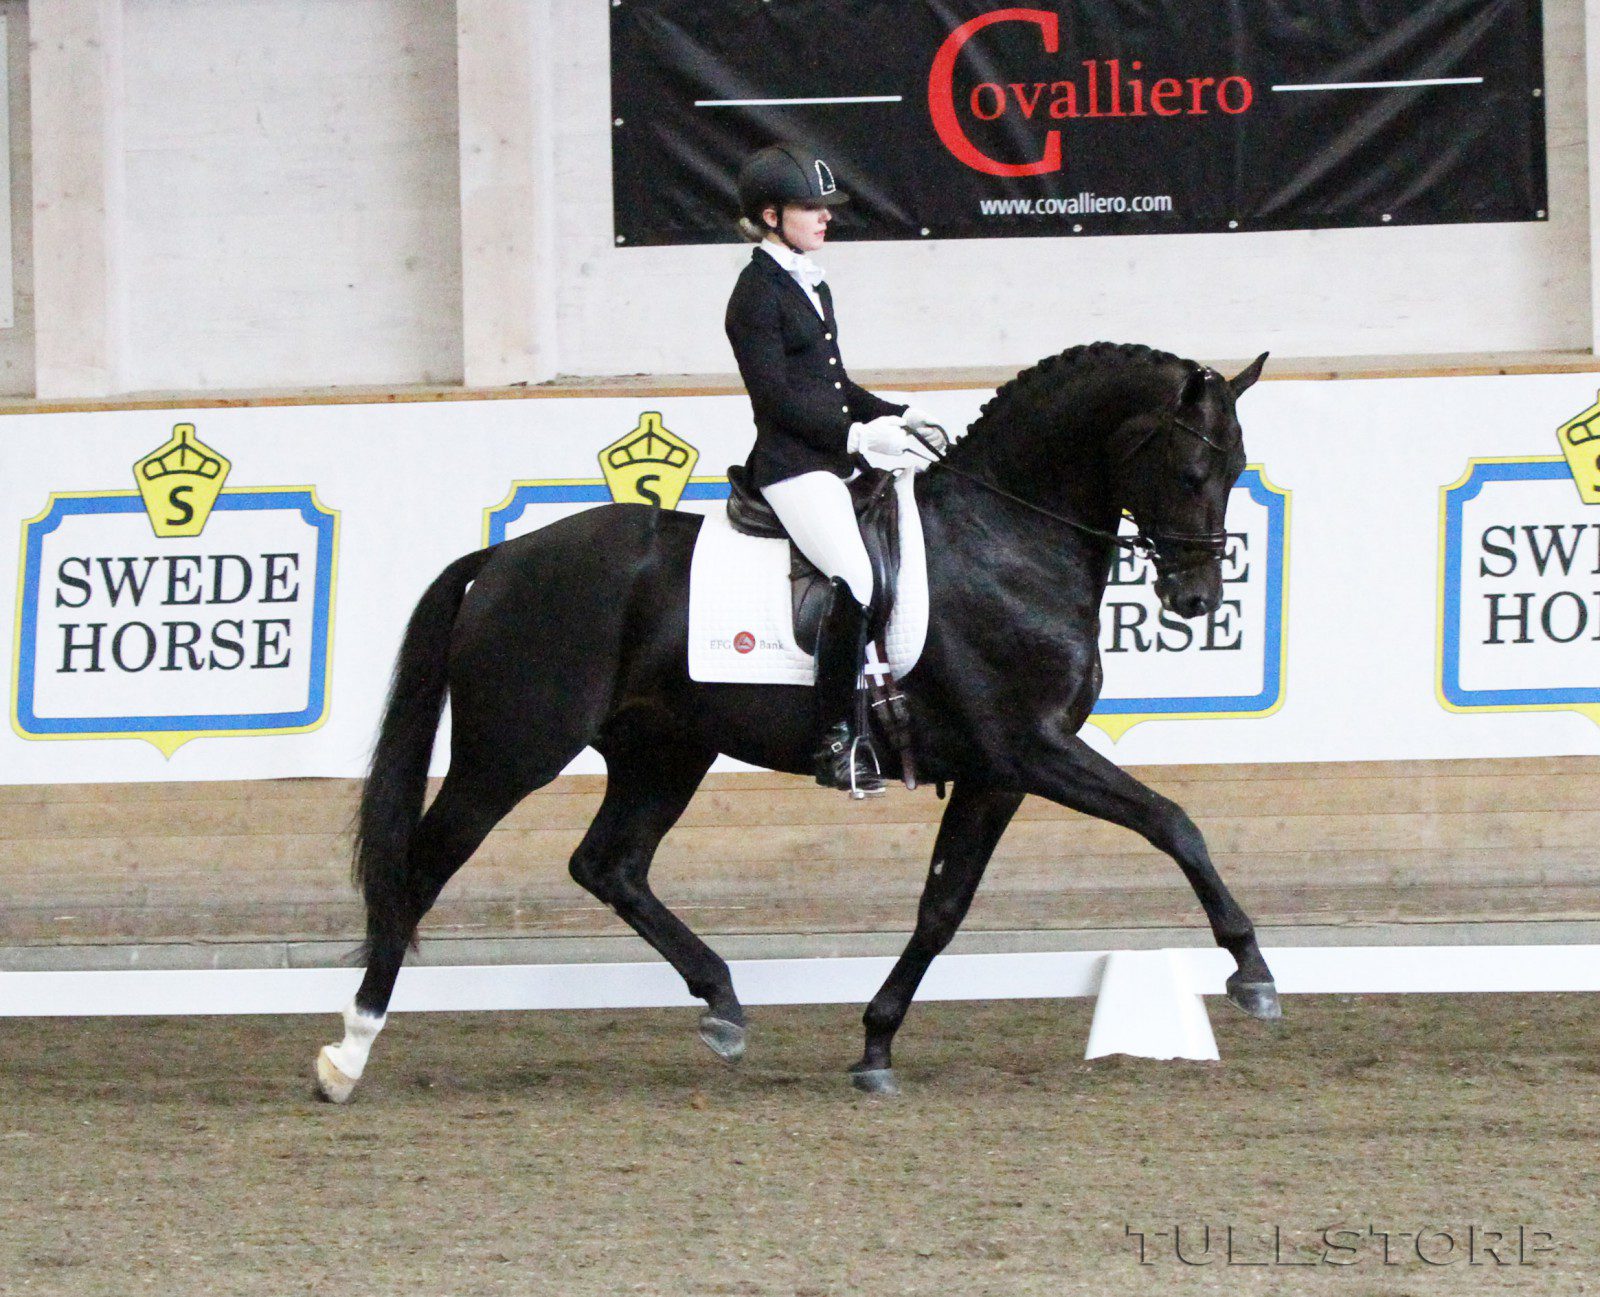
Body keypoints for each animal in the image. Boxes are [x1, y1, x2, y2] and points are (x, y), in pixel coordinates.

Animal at [315, 341, 1279, 1103]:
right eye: (1192, 471)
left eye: (1237, 472)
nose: (1195, 600)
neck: (1004, 539)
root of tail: (503, 557)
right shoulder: (1029, 747)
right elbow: (1173, 822)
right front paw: (1252, 969)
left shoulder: (996, 772)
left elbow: (943, 905)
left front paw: (877, 1043)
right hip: (510, 753)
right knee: (421, 870)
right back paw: (348, 1051)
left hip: (664, 751)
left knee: (608, 863)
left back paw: (723, 1003)